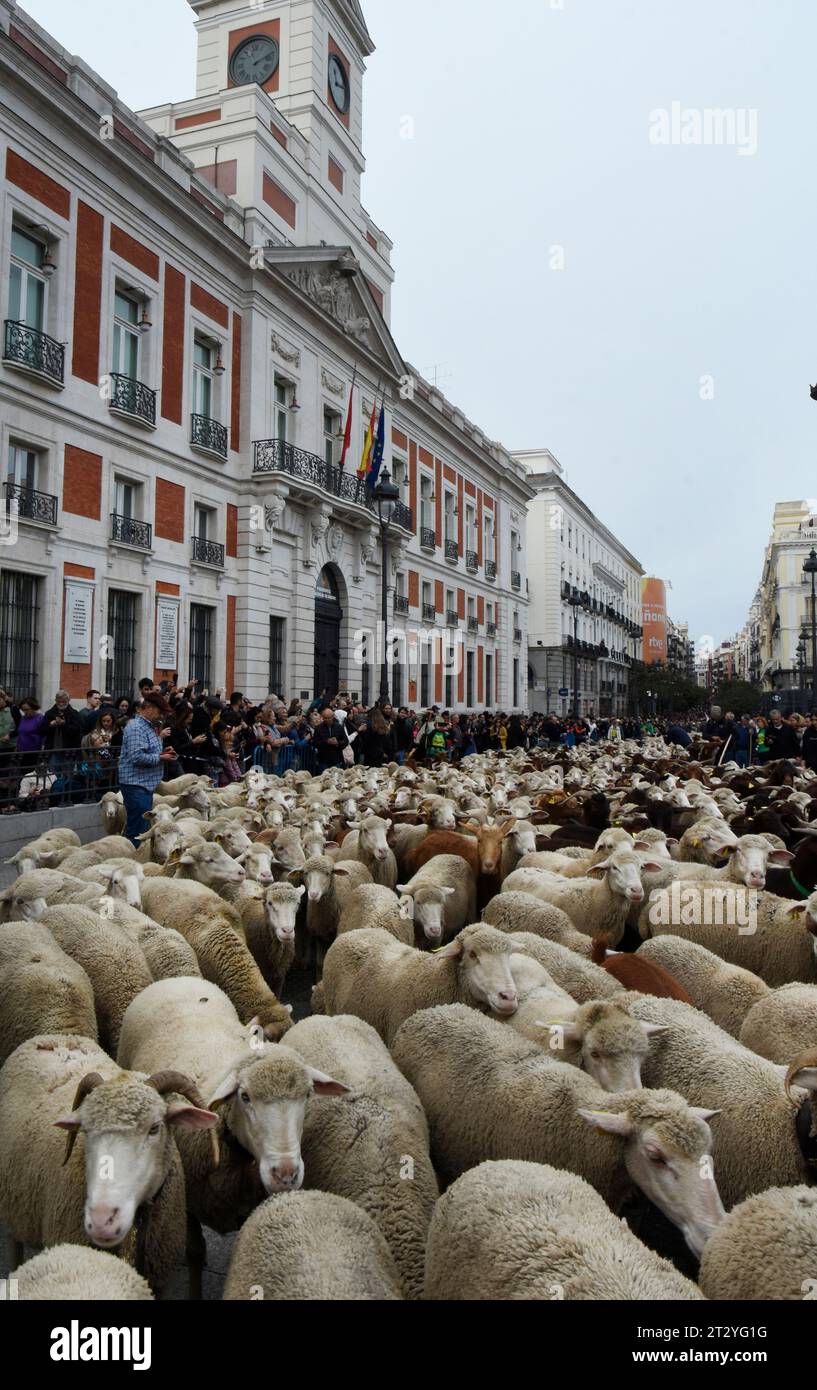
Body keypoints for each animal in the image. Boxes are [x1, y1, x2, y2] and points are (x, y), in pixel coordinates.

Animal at [117, 978, 349, 1287]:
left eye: (309, 1094)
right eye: (245, 1096)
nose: (286, 1173)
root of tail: (176, 980)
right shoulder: (188, 1202)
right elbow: (195, 1253)